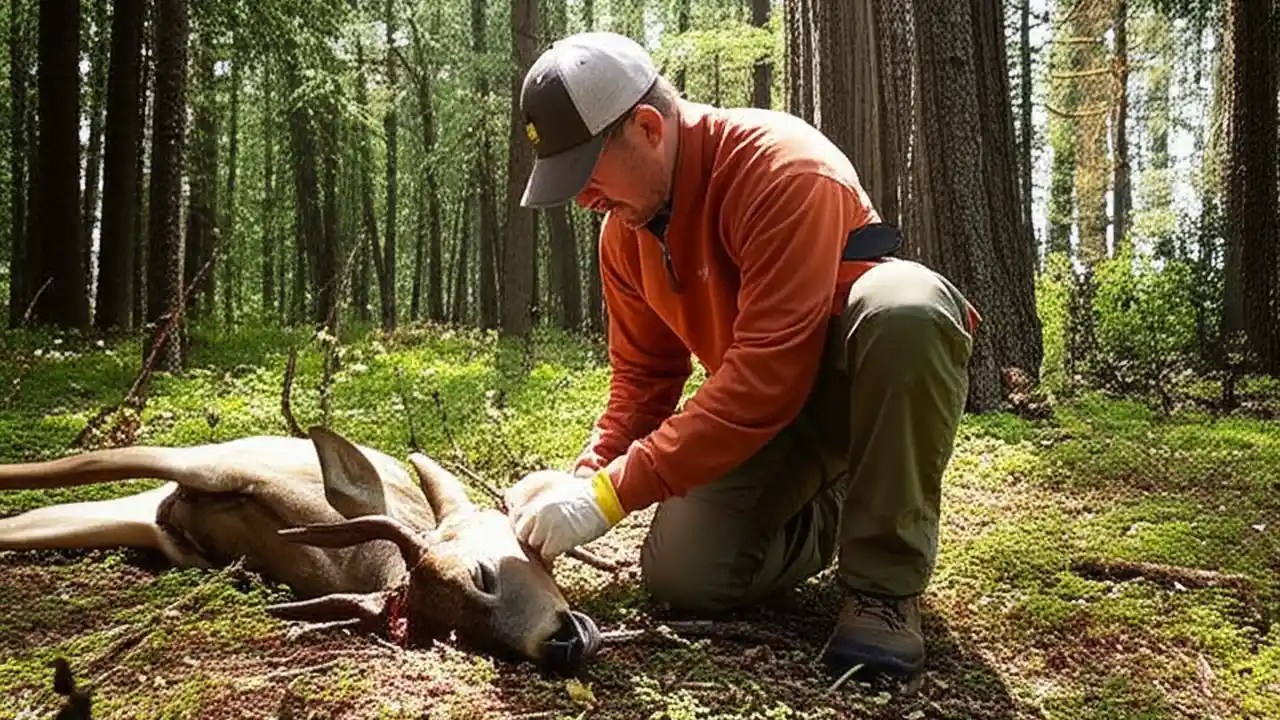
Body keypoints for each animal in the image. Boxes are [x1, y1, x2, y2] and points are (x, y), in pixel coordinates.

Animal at [0, 427, 602, 676]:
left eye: (459, 639)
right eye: (481, 574)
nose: (563, 644)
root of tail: (163, 508)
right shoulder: (223, 464)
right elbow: (82, 462)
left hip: (144, 525)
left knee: (31, 520)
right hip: (201, 466)